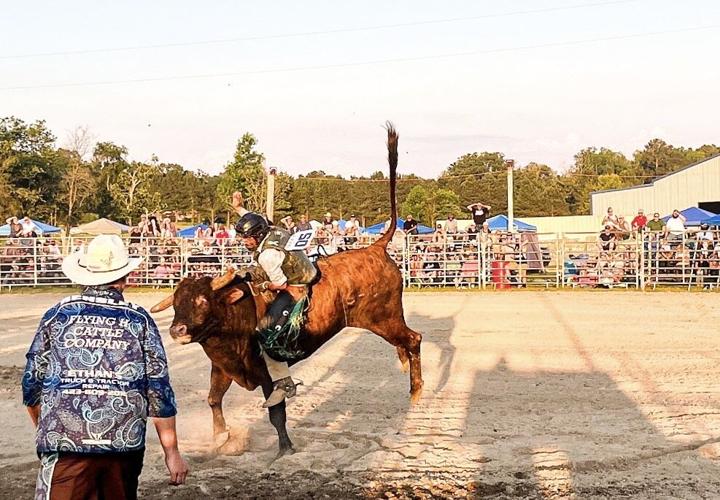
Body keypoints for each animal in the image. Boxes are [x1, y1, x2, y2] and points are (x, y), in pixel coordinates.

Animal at [150, 124, 423, 457]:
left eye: (202, 300)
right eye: (177, 302)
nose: (176, 330)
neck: (234, 314)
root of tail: (375, 248)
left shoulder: (266, 372)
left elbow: (276, 412)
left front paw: (285, 449)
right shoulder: (222, 366)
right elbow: (214, 399)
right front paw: (221, 437)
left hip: (383, 317)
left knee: (413, 339)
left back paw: (416, 393)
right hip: (383, 320)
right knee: (405, 342)